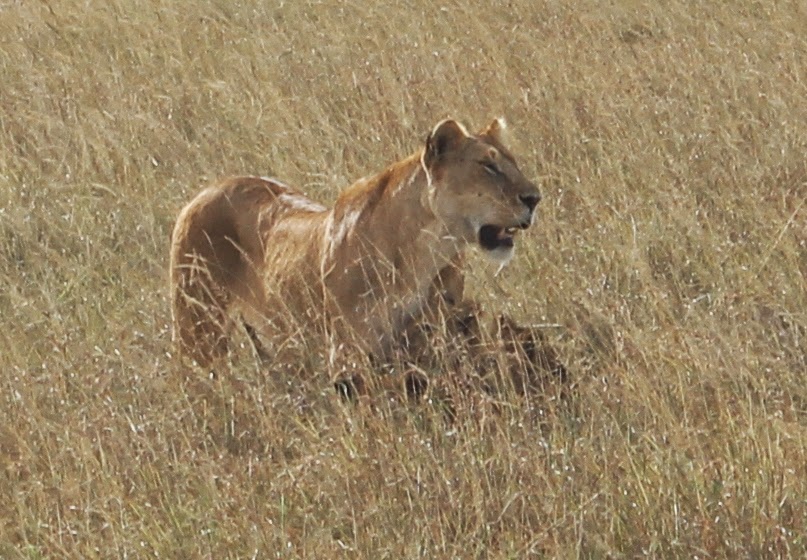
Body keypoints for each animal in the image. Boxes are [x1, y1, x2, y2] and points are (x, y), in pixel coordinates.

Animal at [170, 118, 560, 395]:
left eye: (514, 163)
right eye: (487, 166)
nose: (535, 198)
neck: (426, 250)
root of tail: (209, 188)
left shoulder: (430, 340)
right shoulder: (348, 354)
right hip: (198, 331)